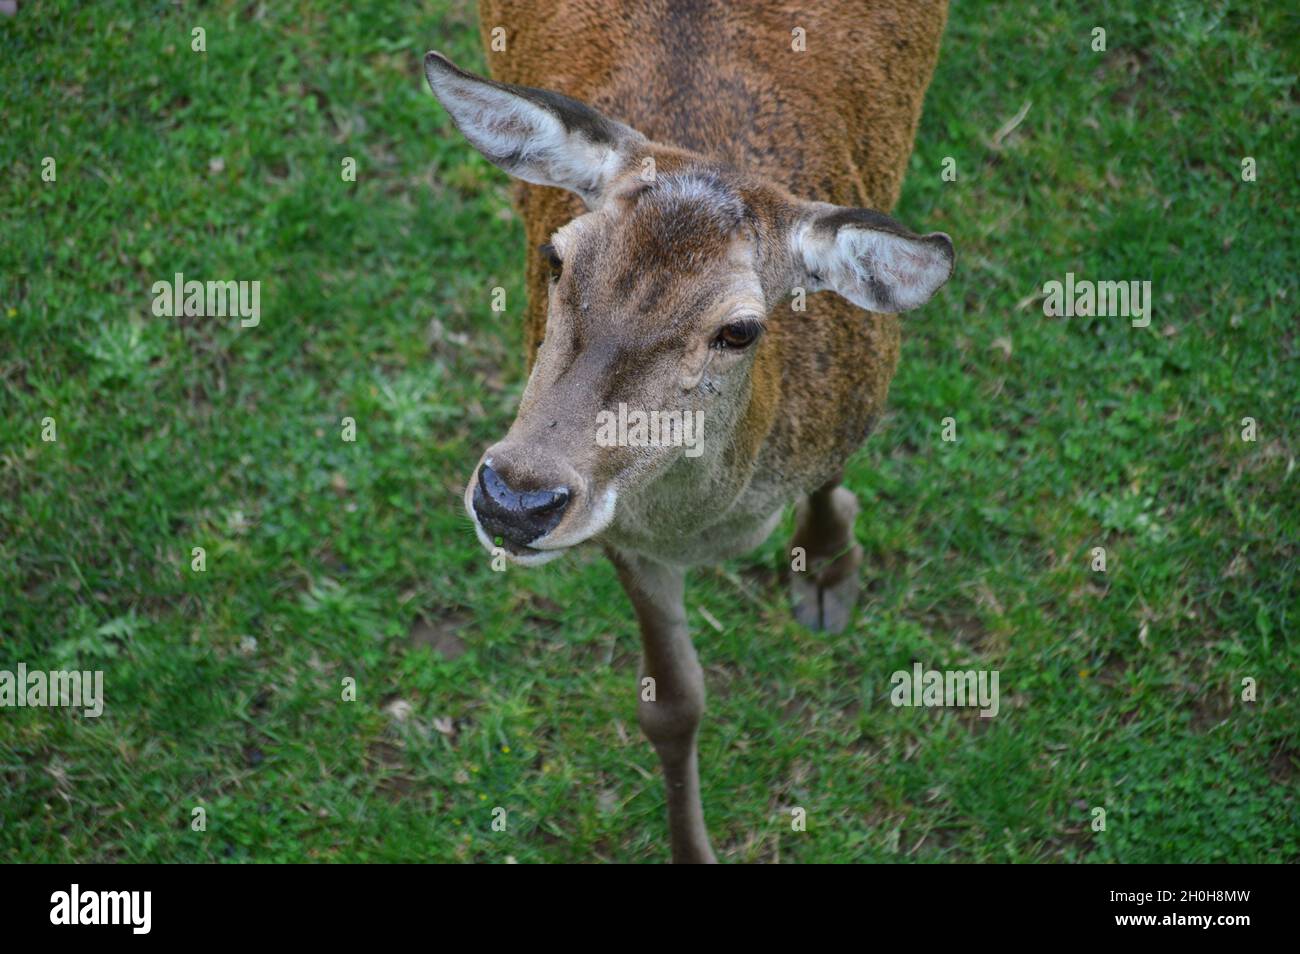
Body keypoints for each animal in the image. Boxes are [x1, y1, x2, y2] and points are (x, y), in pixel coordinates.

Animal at [424, 0, 952, 863]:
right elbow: (670, 707)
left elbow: (834, 481)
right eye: (556, 256)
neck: (715, 526)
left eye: (739, 329)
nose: (515, 497)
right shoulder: (620, 534)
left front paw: (827, 573)